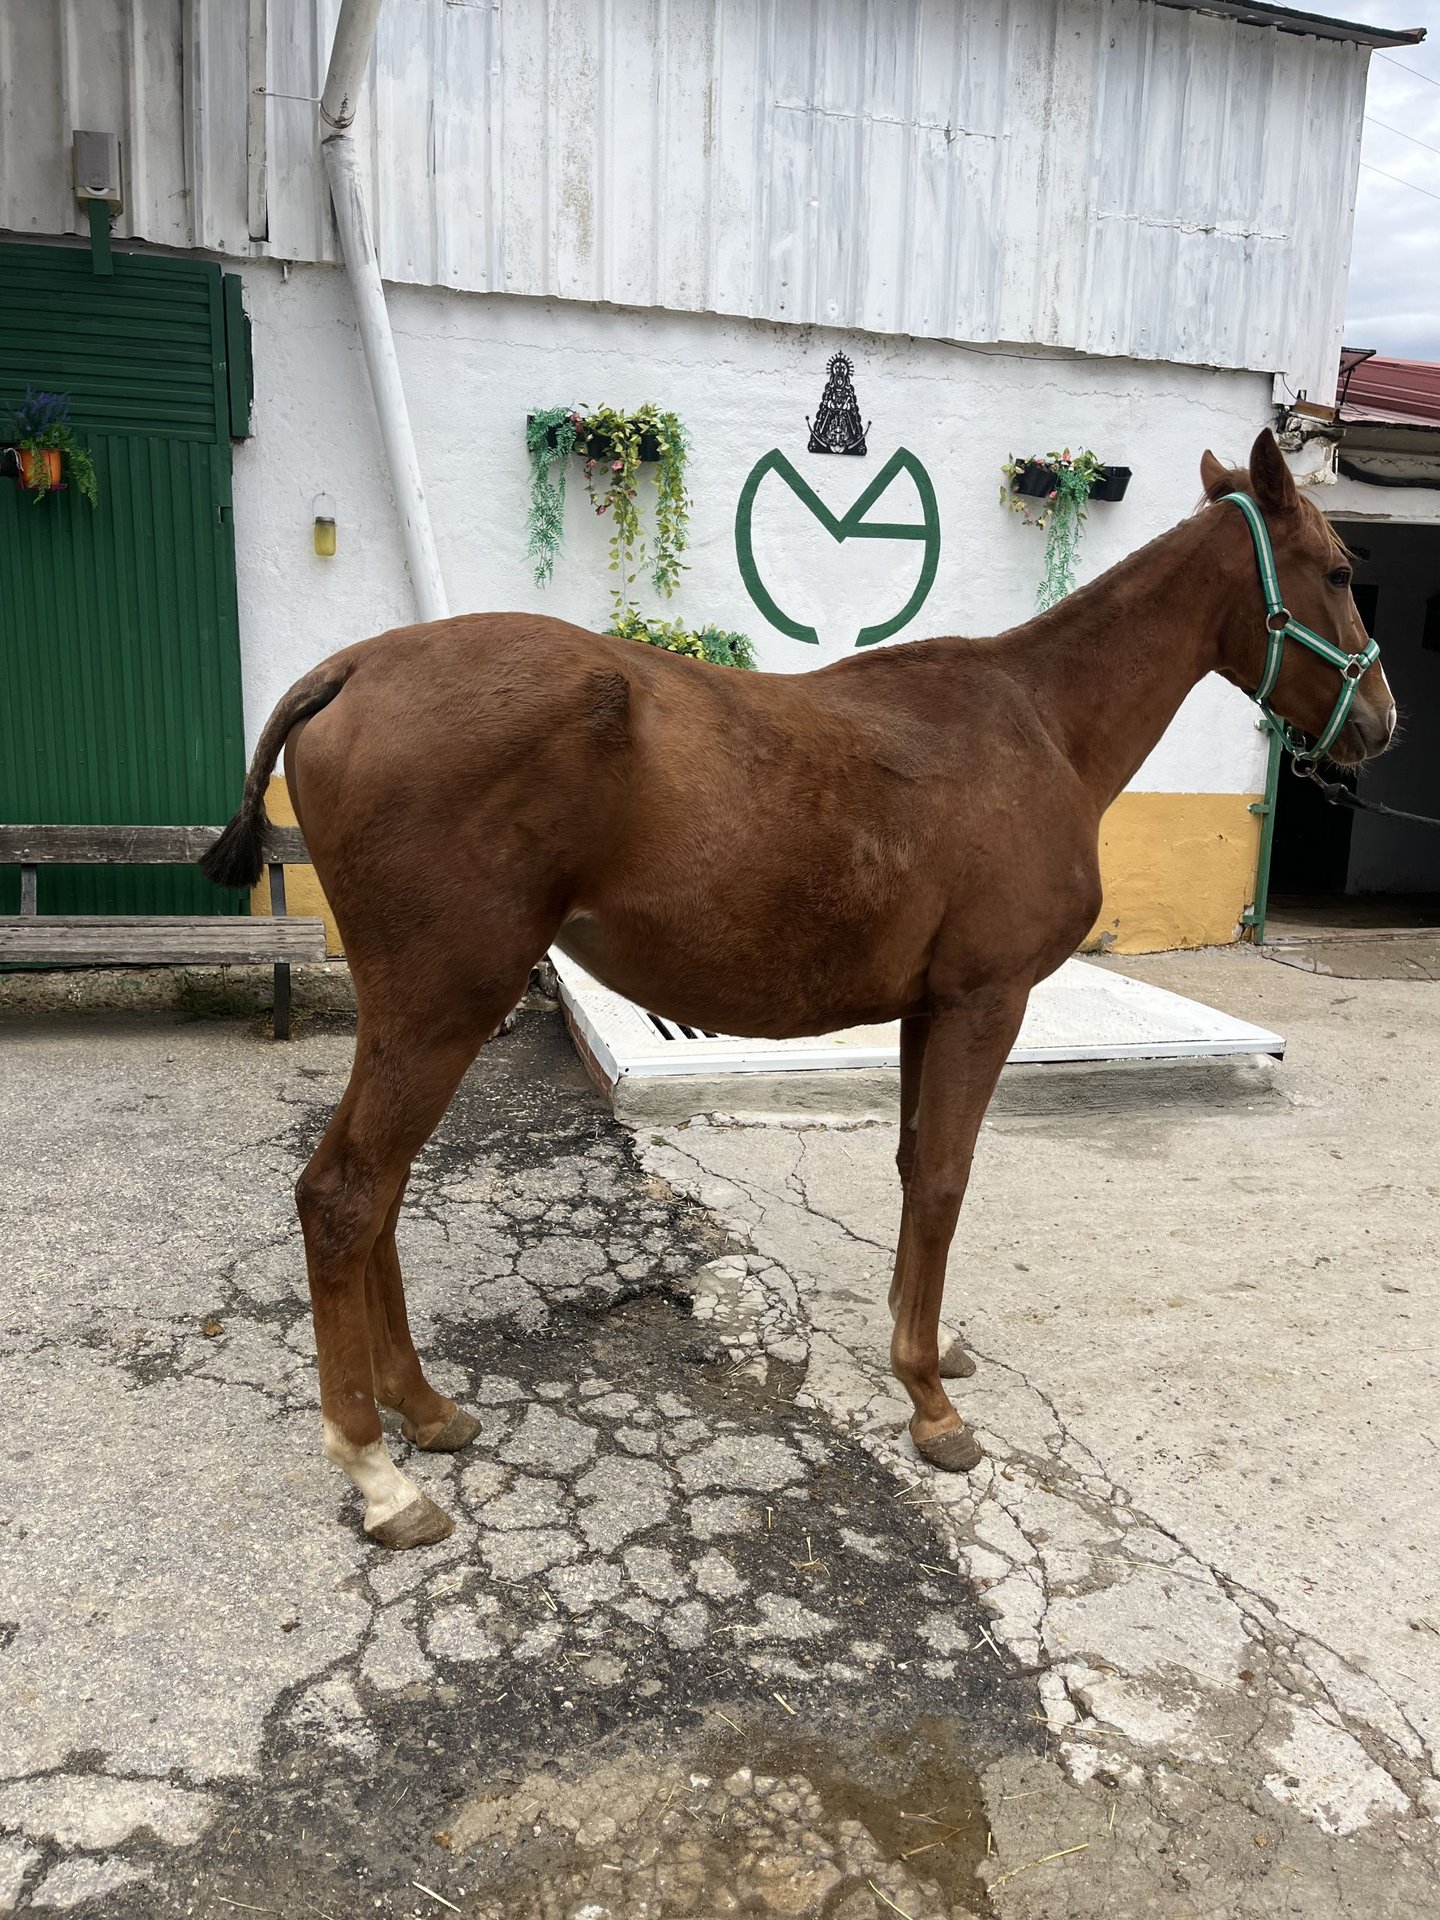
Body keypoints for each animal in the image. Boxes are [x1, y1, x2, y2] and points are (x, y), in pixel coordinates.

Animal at [202, 429, 1394, 1549]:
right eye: (1340, 571)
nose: (1382, 724)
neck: (1039, 723)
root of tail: (353, 668)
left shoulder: (929, 1010)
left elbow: (915, 1170)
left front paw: (925, 1347)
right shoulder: (984, 1003)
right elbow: (946, 1182)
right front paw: (929, 1403)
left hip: (419, 1013)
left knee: (381, 1194)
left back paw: (423, 1408)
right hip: (441, 1005)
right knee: (346, 1197)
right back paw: (377, 1470)